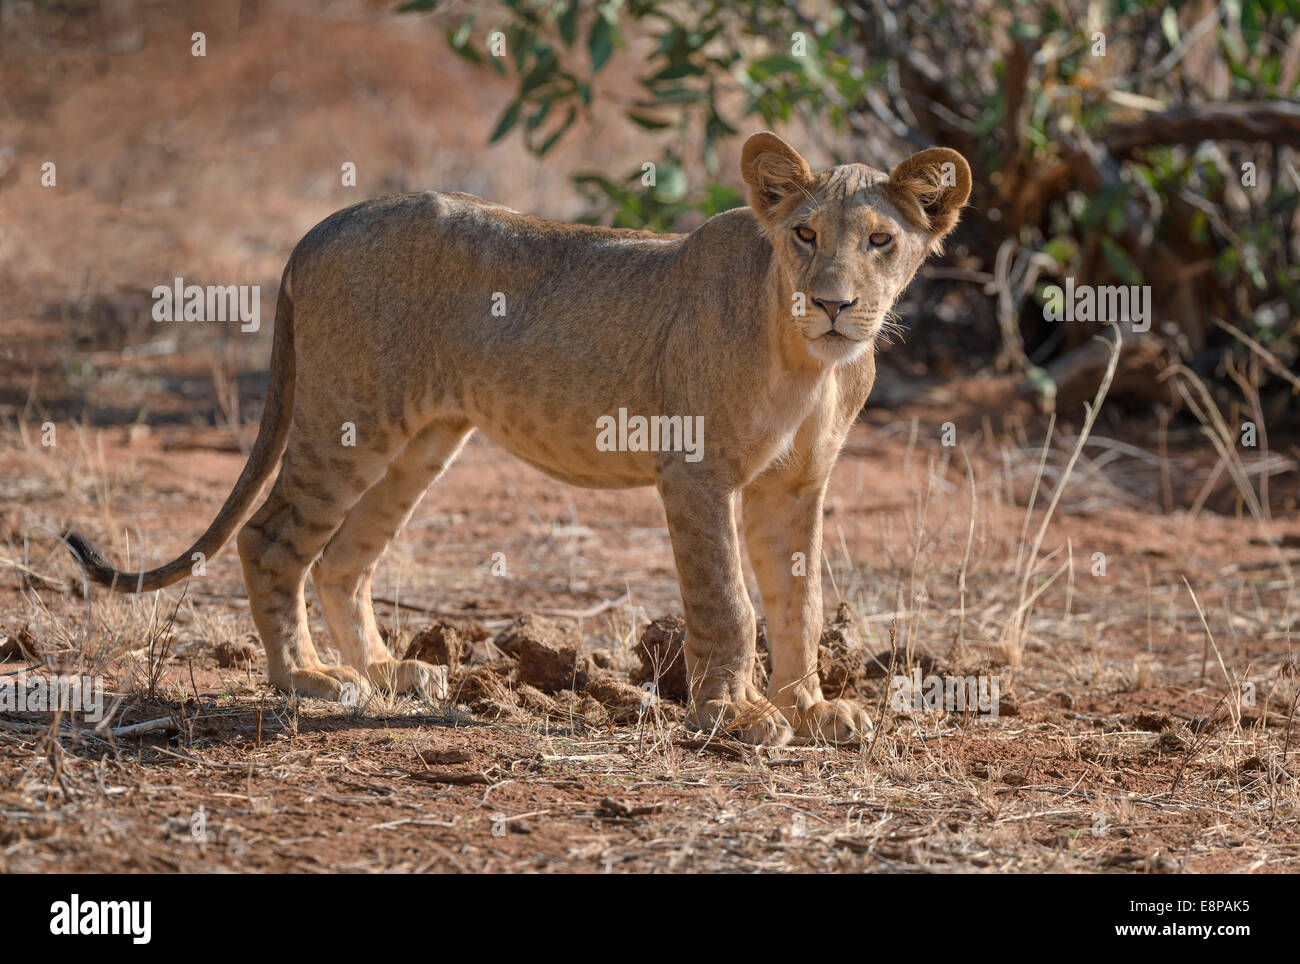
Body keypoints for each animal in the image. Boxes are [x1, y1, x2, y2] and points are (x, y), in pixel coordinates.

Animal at [65, 132, 970, 745]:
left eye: (881, 242)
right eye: (806, 236)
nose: (834, 305)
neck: (807, 361)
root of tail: (323, 226)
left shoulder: (797, 485)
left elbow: (799, 601)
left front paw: (812, 708)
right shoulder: (695, 470)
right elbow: (728, 602)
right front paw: (734, 716)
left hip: (424, 438)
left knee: (343, 556)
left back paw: (389, 670)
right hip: (349, 419)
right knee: (272, 536)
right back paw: (312, 680)